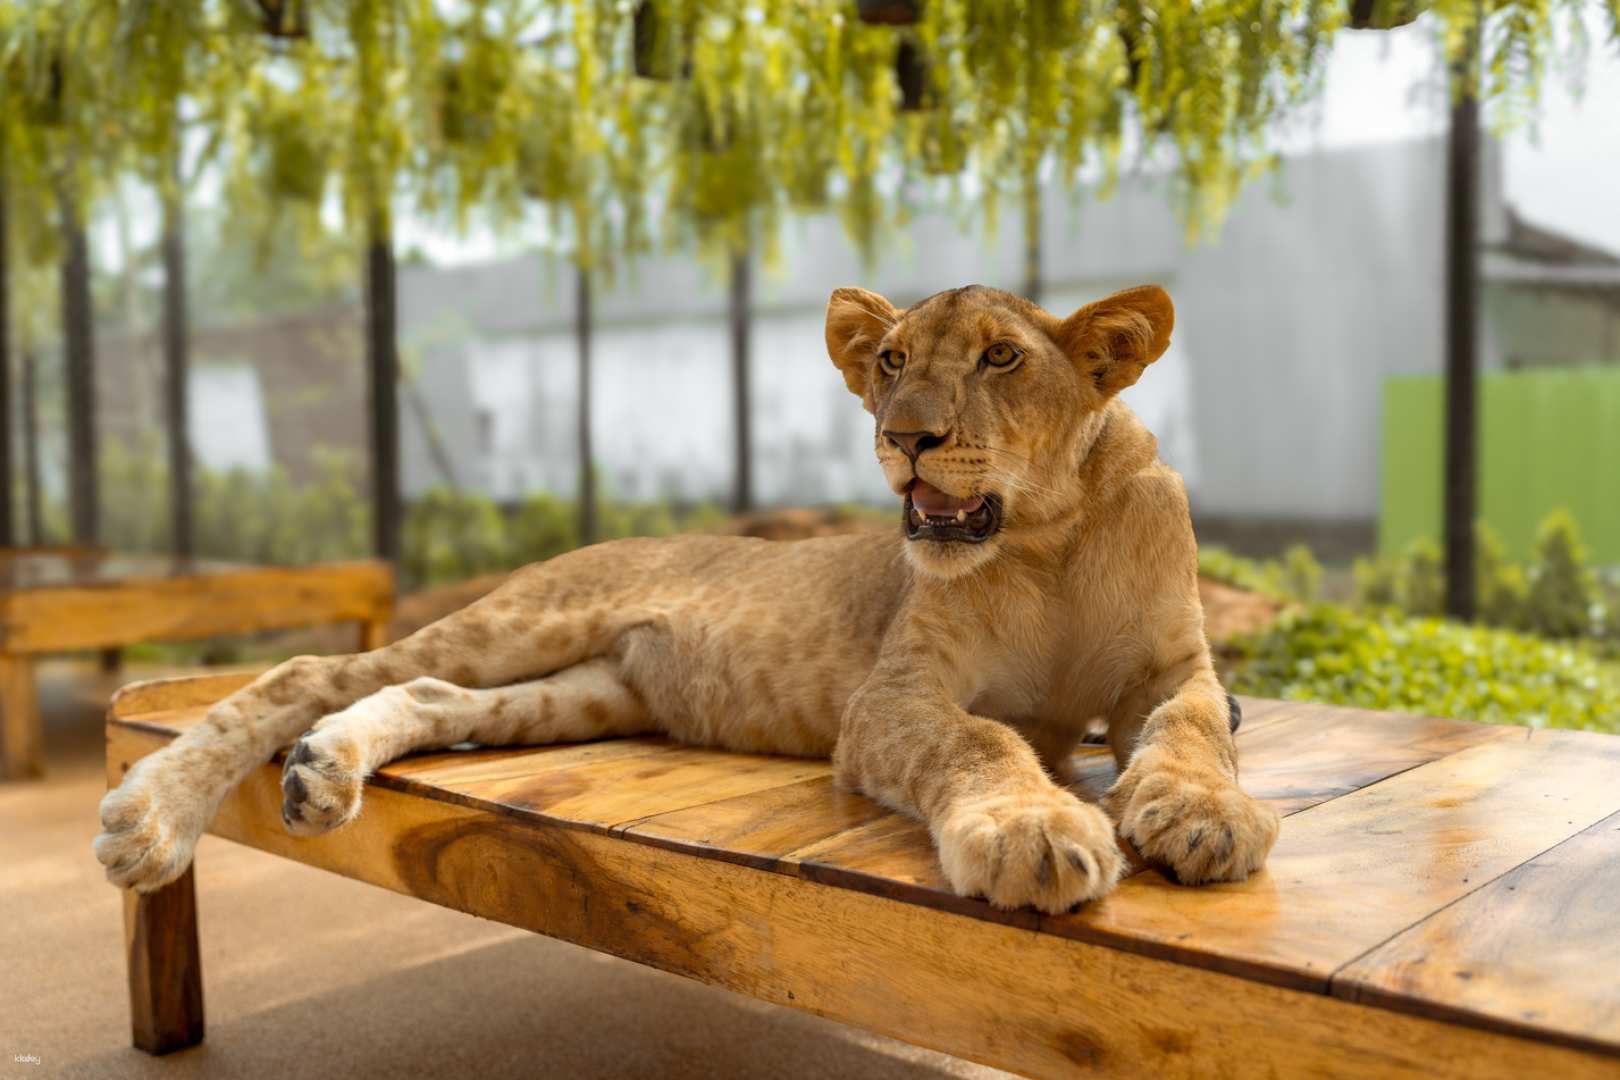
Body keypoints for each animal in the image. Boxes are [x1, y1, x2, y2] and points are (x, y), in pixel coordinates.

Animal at [95, 283, 1279, 913]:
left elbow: (1192, 731)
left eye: (1000, 358)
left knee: (428, 696)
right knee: (313, 668)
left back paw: (321, 772)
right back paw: (150, 820)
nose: (907, 435)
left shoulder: (1174, 670)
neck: (1048, 538)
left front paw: (1206, 818)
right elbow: (980, 743)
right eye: (891, 360)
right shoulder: (894, 699)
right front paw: (1035, 831)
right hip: (523, 621)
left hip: (582, 692)